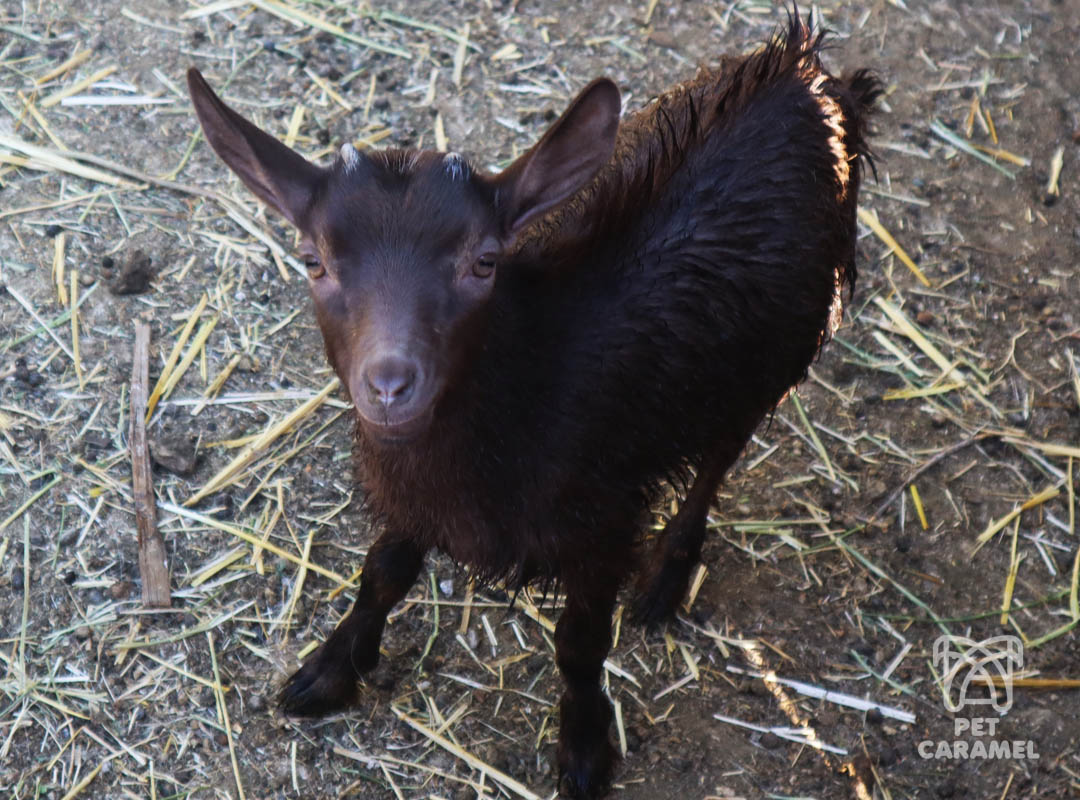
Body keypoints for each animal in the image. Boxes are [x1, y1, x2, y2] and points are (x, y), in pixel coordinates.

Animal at [187, 14, 878, 798]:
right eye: (313, 260)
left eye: (484, 262)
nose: (390, 385)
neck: (529, 384)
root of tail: (806, 69)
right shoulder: (413, 501)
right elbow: (382, 576)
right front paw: (327, 673)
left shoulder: (603, 520)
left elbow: (579, 644)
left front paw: (583, 751)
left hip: (783, 345)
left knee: (719, 456)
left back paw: (669, 577)